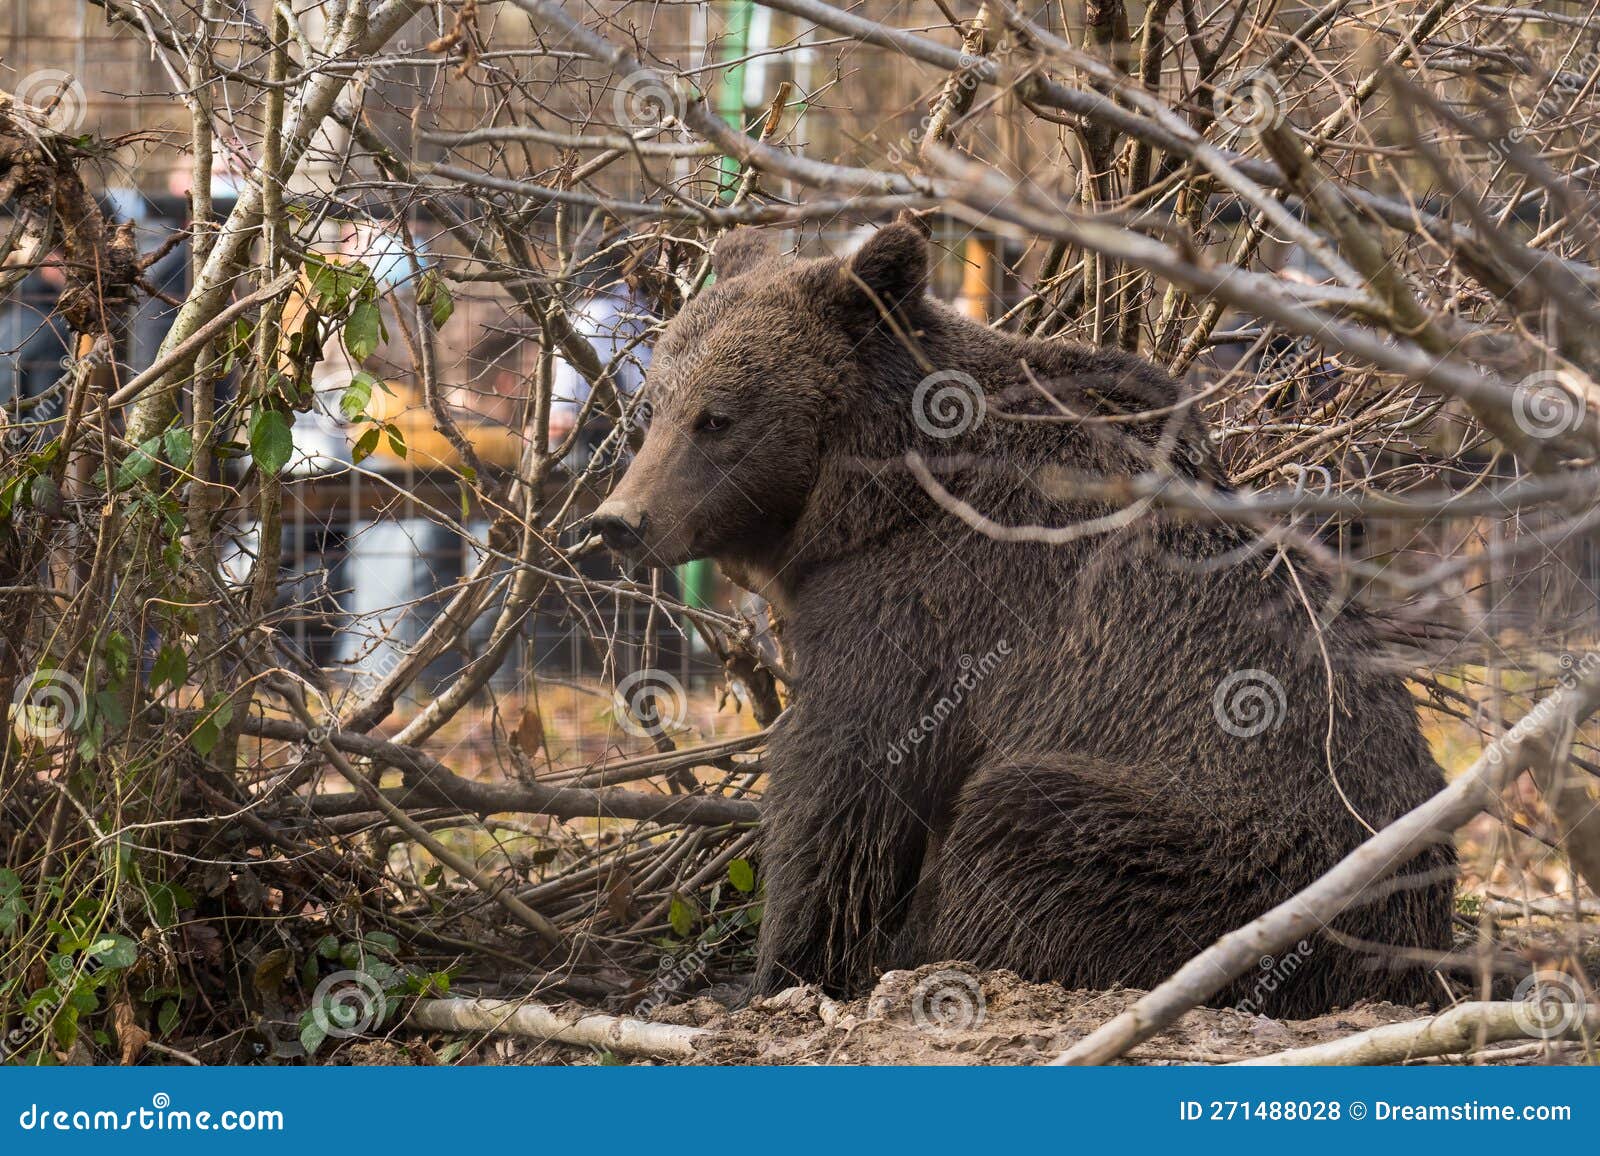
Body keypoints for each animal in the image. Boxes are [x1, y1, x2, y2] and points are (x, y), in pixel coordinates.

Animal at [591, 220, 1457, 1017]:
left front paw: (773, 974)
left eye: (717, 416)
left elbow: (838, 785)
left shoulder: (919, 615)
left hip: (1211, 844)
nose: (620, 520)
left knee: (1023, 824)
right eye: (652, 405)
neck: (875, 493)